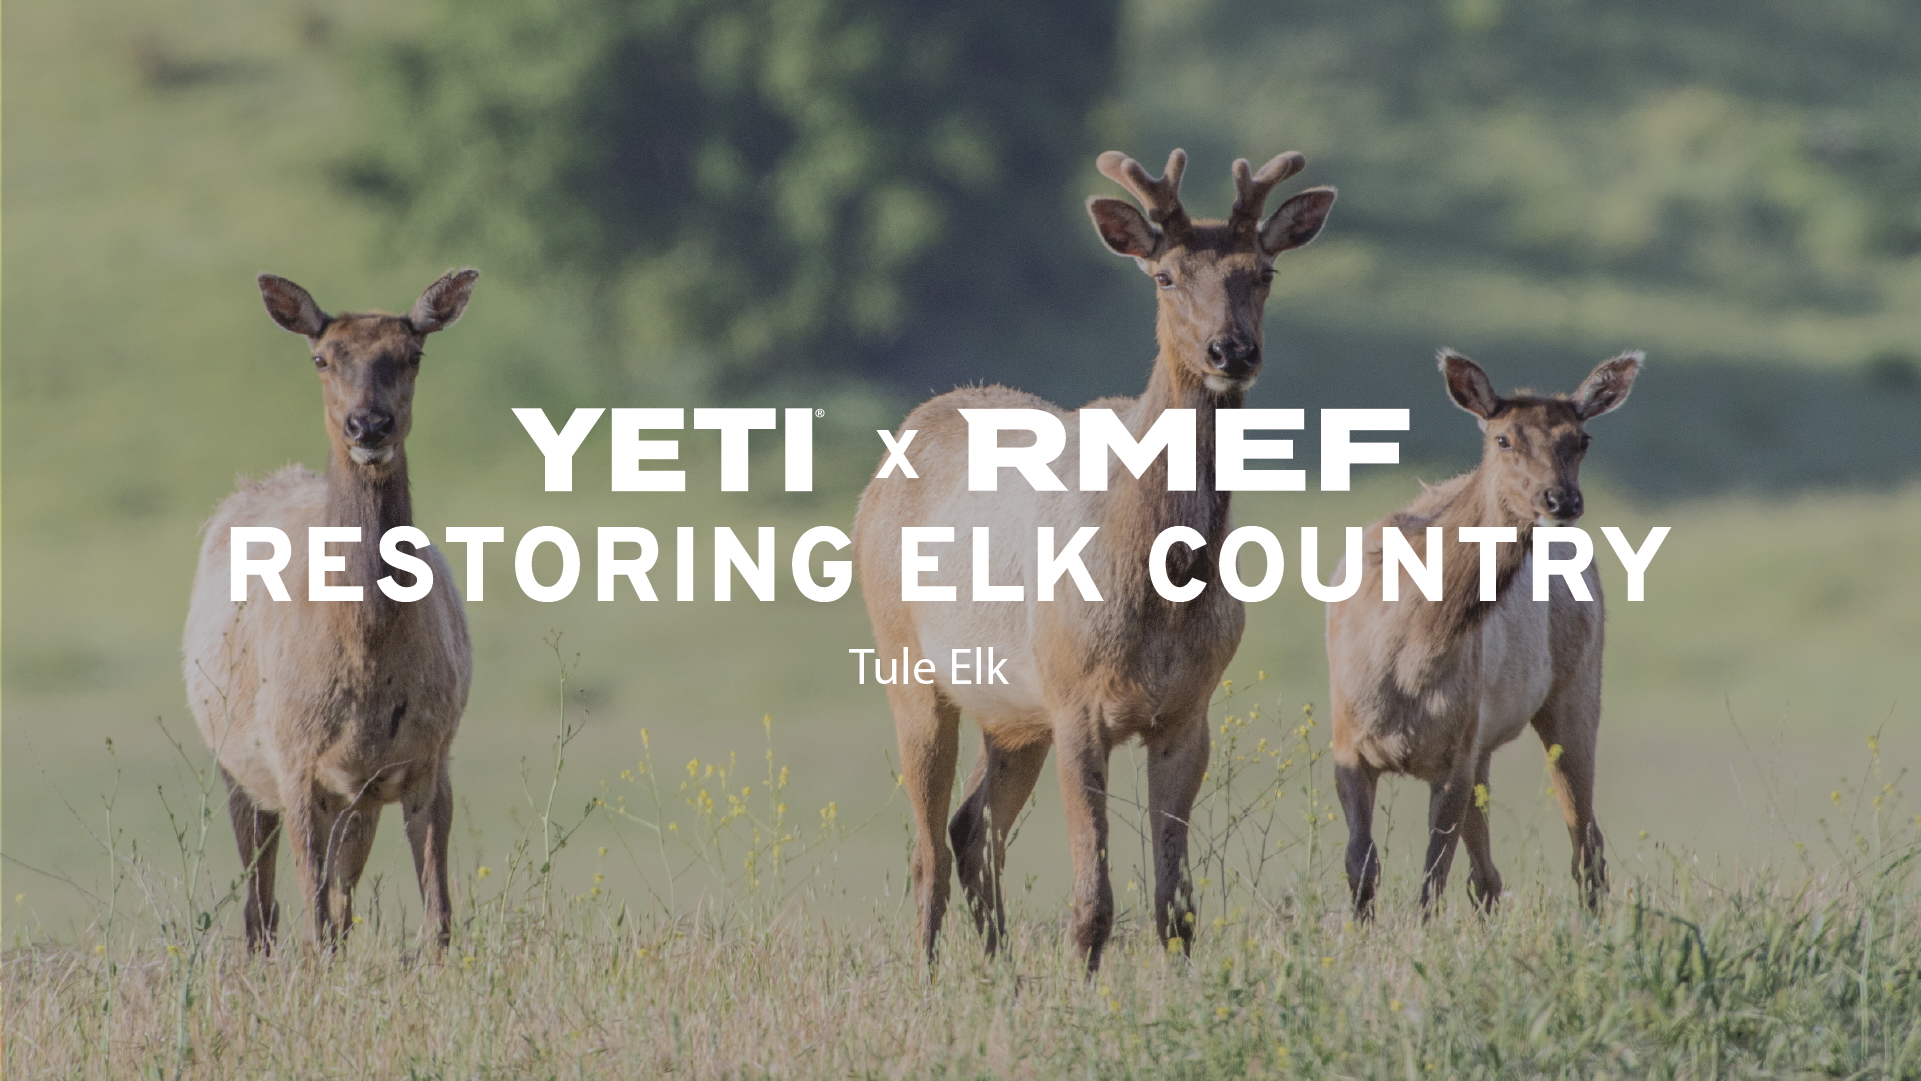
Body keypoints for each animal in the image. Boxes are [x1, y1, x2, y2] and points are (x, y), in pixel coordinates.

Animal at [182, 270, 479, 952]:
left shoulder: (431, 754)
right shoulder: (293, 758)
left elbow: (438, 920)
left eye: (413, 354)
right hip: (238, 764)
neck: (368, 654)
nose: (368, 426)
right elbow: (311, 921)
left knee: (340, 906)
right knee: (261, 913)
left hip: (356, 801)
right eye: (321, 358)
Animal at [853, 149, 1336, 972]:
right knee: (926, 849)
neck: (1155, 592)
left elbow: (1176, 906)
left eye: (1263, 272)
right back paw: (926, 977)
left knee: (970, 827)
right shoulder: (1075, 698)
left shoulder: (1188, 709)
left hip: (1013, 711)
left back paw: (1002, 973)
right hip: (909, 662)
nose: (1231, 351)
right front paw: (1083, 986)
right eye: (1165, 276)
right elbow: (1094, 904)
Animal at [1324, 349, 1642, 921]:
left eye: (1582, 439)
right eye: (1503, 438)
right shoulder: (1347, 739)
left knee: (1585, 844)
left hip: (1576, 688)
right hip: (1487, 744)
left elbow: (1431, 883)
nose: (1561, 500)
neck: (1409, 654)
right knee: (1488, 876)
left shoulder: (1455, 752)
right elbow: (1362, 866)